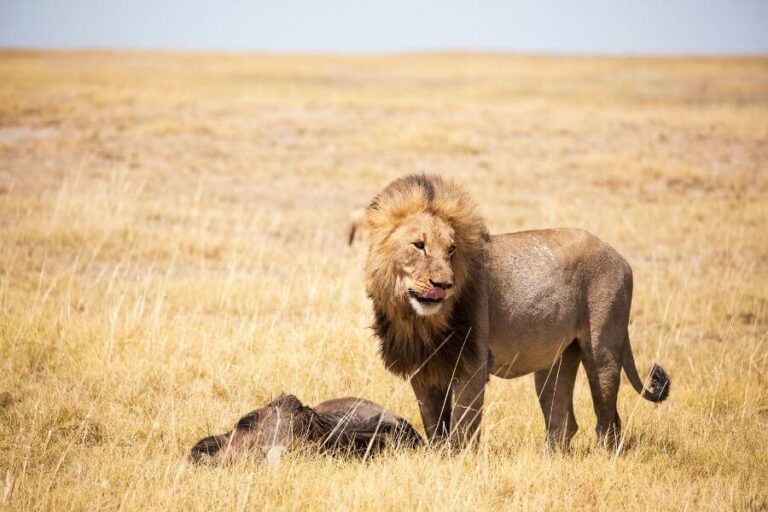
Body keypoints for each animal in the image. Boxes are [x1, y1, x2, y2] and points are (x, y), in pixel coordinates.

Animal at [364, 174, 670, 450]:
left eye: (451, 249)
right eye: (419, 245)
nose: (443, 285)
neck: (419, 320)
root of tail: (620, 256)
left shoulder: (472, 363)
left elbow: (463, 425)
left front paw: (459, 460)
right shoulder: (423, 367)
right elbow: (433, 424)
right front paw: (439, 456)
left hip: (602, 350)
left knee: (608, 419)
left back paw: (603, 457)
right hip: (555, 360)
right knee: (563, 423)